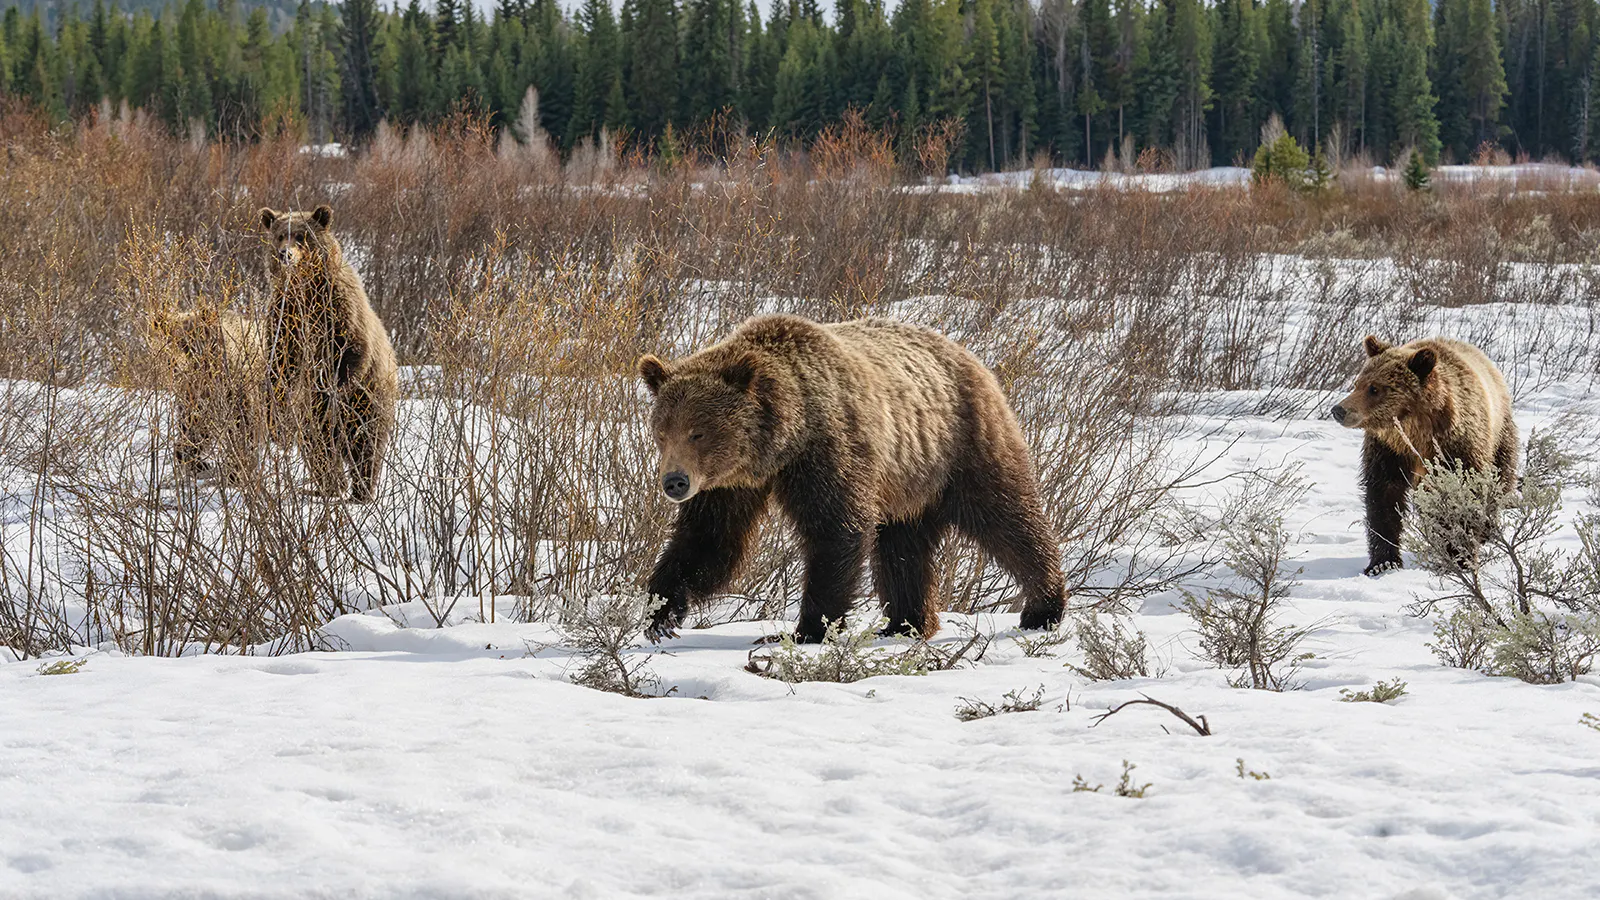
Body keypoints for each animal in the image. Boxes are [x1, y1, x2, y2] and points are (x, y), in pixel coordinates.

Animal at [149, 305, 268, 484]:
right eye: (170, 340)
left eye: (188, 343)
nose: (174, 364)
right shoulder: (195, 397)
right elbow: (192, 430)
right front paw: (196, 462)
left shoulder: (236, 391)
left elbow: (244, 427)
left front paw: (237, 470)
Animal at [258, 205, 399, 503]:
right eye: (280, 235)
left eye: (302, 236)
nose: (285, 254)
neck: (307, 289)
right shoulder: (286, 316)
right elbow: (281, 365)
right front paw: (275, 415)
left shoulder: (339, 310)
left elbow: (351, 351)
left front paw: (330, 391)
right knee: (317, 446)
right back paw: (329, 485)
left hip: (370, 400)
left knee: (365, 445)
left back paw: (361, 491)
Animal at [636, 313, 1068, 643]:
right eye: (662, 432)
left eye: (698, 432)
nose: (674, 482)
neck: (783, 442)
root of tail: (970, 356)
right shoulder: (730, 485)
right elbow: (709, 541)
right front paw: (659, 613)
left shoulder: (829, 449)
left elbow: (836, 529)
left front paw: (809, 629)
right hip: (907, 483)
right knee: (902, 549)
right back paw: (906, 623)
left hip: (960, 446)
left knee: (1007, 515)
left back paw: (1043, 607)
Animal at [1331, 335, 1518, 576]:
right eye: (1357, 384)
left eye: (1375, 388)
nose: (1339, 410)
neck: (1416, 434)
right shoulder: (1388, 451)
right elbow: (1383, 497)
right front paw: (1382, 562)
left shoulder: (1458, 448)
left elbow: (1463, 495)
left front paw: (1460, 557)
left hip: (1500, 433)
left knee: (1500, 480)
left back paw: (1487, 532)